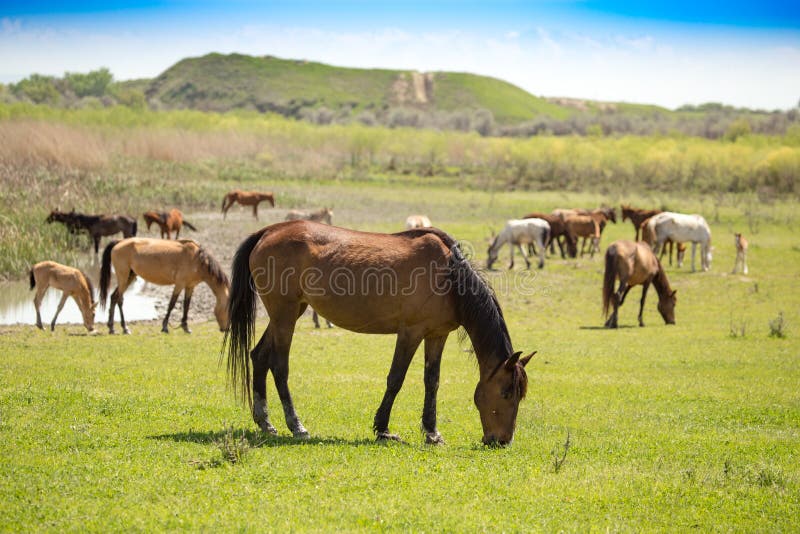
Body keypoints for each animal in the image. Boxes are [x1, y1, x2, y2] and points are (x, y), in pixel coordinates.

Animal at [100, 238, 229, 334]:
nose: (226, 329)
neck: (197, 259)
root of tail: (119, 242)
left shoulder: (190, 286)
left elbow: (186, 306)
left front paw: (185, 327)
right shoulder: (179, 284)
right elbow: (172, 304)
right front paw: (165, 327)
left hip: (129, 277)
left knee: (113, 297)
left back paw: (111, 328)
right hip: (123, 277)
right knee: (119, 299)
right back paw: (125, 328)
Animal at [224, 220, 535, 446]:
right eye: (506, 392)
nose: (502, 441)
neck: (449, 276)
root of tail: (268, 231)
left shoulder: (436, 335)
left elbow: (432, 381)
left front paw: (432, 432)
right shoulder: (410, 333)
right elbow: (395, 379)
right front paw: (383, 429)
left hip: (288, 314)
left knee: (259, 357)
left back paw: (265, 422)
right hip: (285, 315)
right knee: (279, 366)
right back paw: (296, 426)